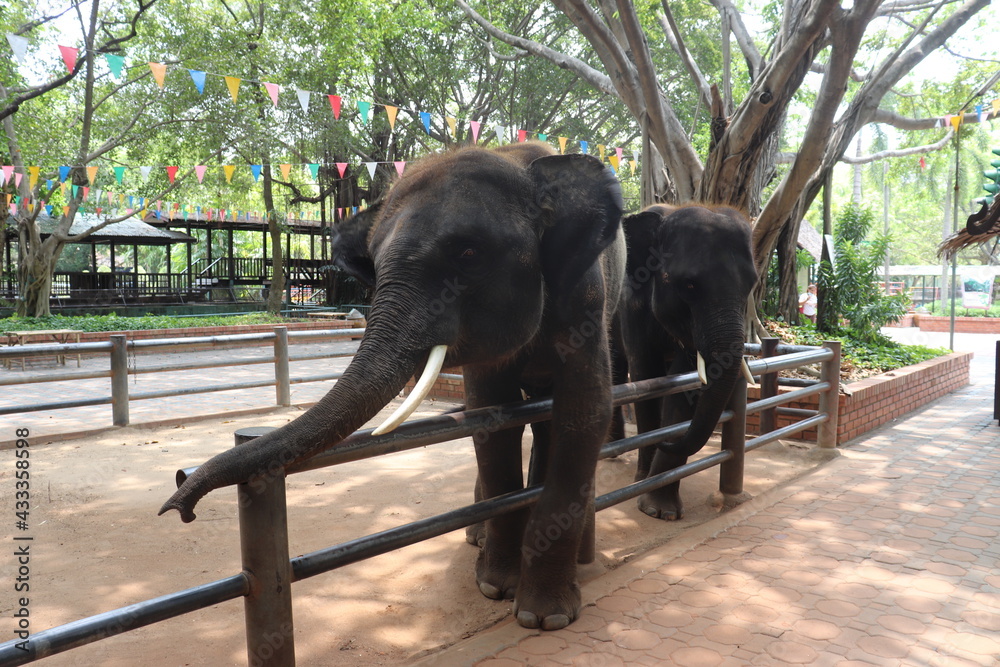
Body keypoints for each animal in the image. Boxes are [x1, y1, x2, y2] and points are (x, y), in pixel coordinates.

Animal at [160, 141, 627, 631]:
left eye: (469, 254)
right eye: (376, 263)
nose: (179, 498)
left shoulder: (587, 299)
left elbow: (584, 412)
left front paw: (544, 617)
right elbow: (491, 418)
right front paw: (495, 587)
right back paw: (478, 540)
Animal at [617, 204, 756, 520]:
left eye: (752, 284)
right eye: (689, 285)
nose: (663, 441)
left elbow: (685, 388)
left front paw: (661, 511)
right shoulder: (631, 303)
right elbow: (644, 374)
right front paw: (643, 483)